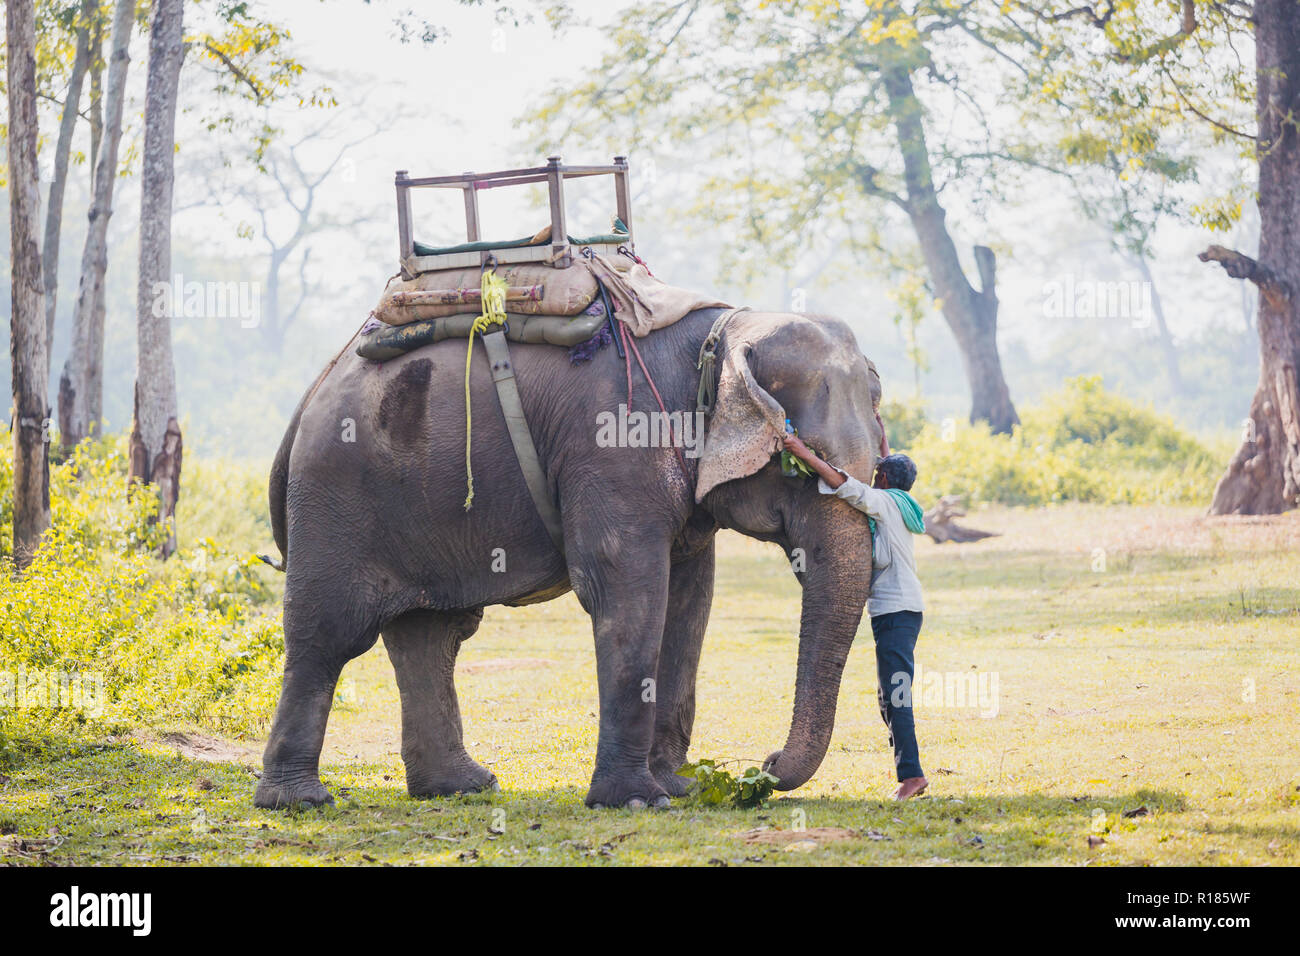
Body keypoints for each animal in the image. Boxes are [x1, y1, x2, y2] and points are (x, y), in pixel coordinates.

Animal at [253, 305, 884, 810]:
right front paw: (638, 802)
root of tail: (314, 390)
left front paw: (678, 789)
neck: (721, 333)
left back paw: (461, 787)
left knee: (429, 635)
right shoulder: (612, 444)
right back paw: (299, 802)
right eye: (800, 464)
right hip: (338, 498)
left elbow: (689, 602)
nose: (768, 763)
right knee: (329, 634)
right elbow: (626, 588)